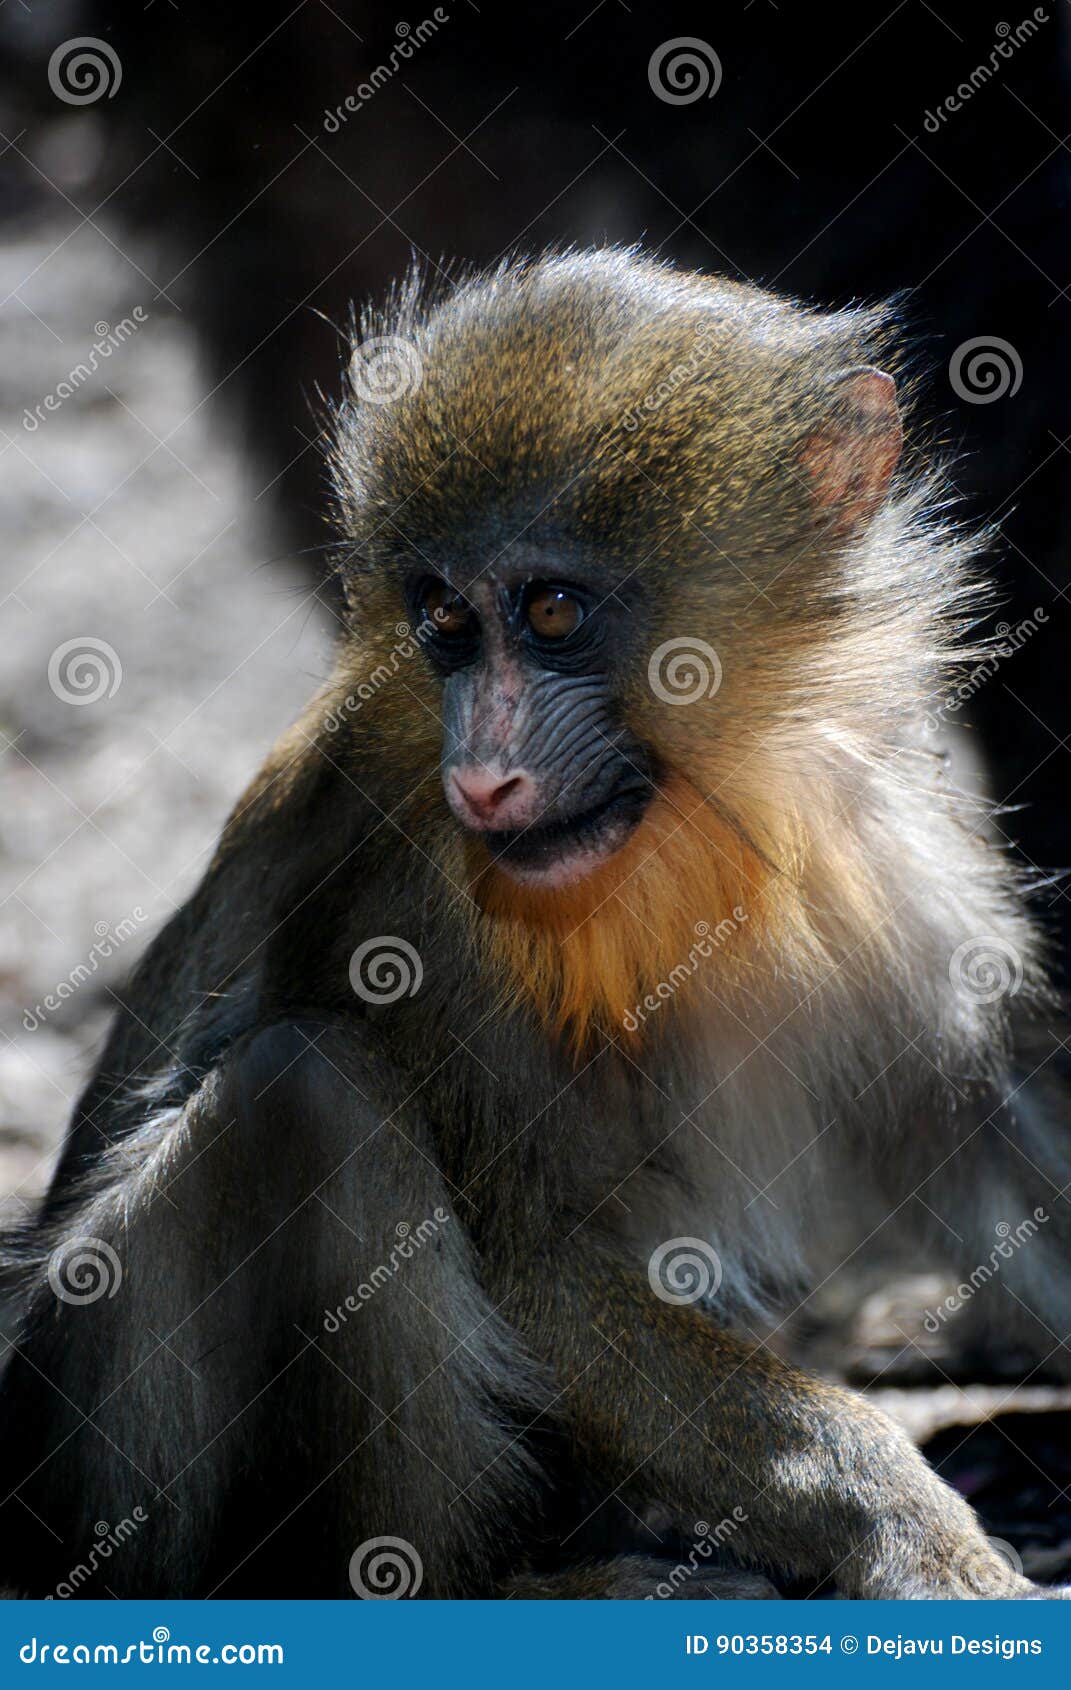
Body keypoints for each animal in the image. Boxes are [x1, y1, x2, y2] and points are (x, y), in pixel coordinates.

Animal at [1, 247, 1070, 1601]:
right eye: (447, 622)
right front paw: (909, 1527)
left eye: (553, 612)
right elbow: (531, 1260)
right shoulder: (417, 895)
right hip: (118, 1484)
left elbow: (1007, 1141)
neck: (699, 819)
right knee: (306, 1094)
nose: (486, 776)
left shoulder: (898, 854)